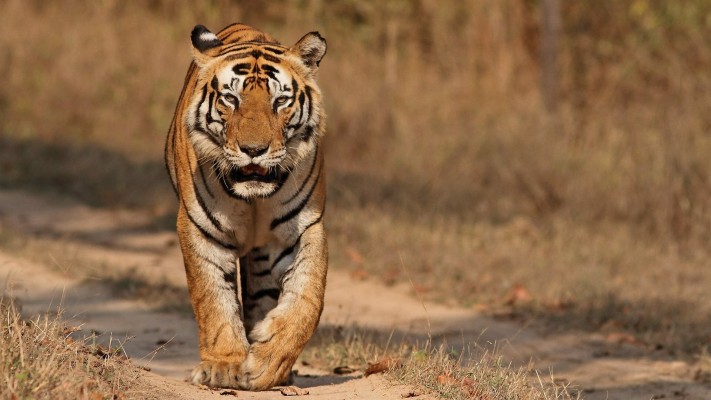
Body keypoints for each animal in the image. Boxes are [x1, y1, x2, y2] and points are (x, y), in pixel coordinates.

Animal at [164, 23, 328, 390]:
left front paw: (269, 362)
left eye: (280, 101)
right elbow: (213, 301)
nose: (254, 150)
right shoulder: (201, 230)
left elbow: (307, 298)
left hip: (263, 256)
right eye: (231, 99)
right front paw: (224, 366)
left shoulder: (303, 229)